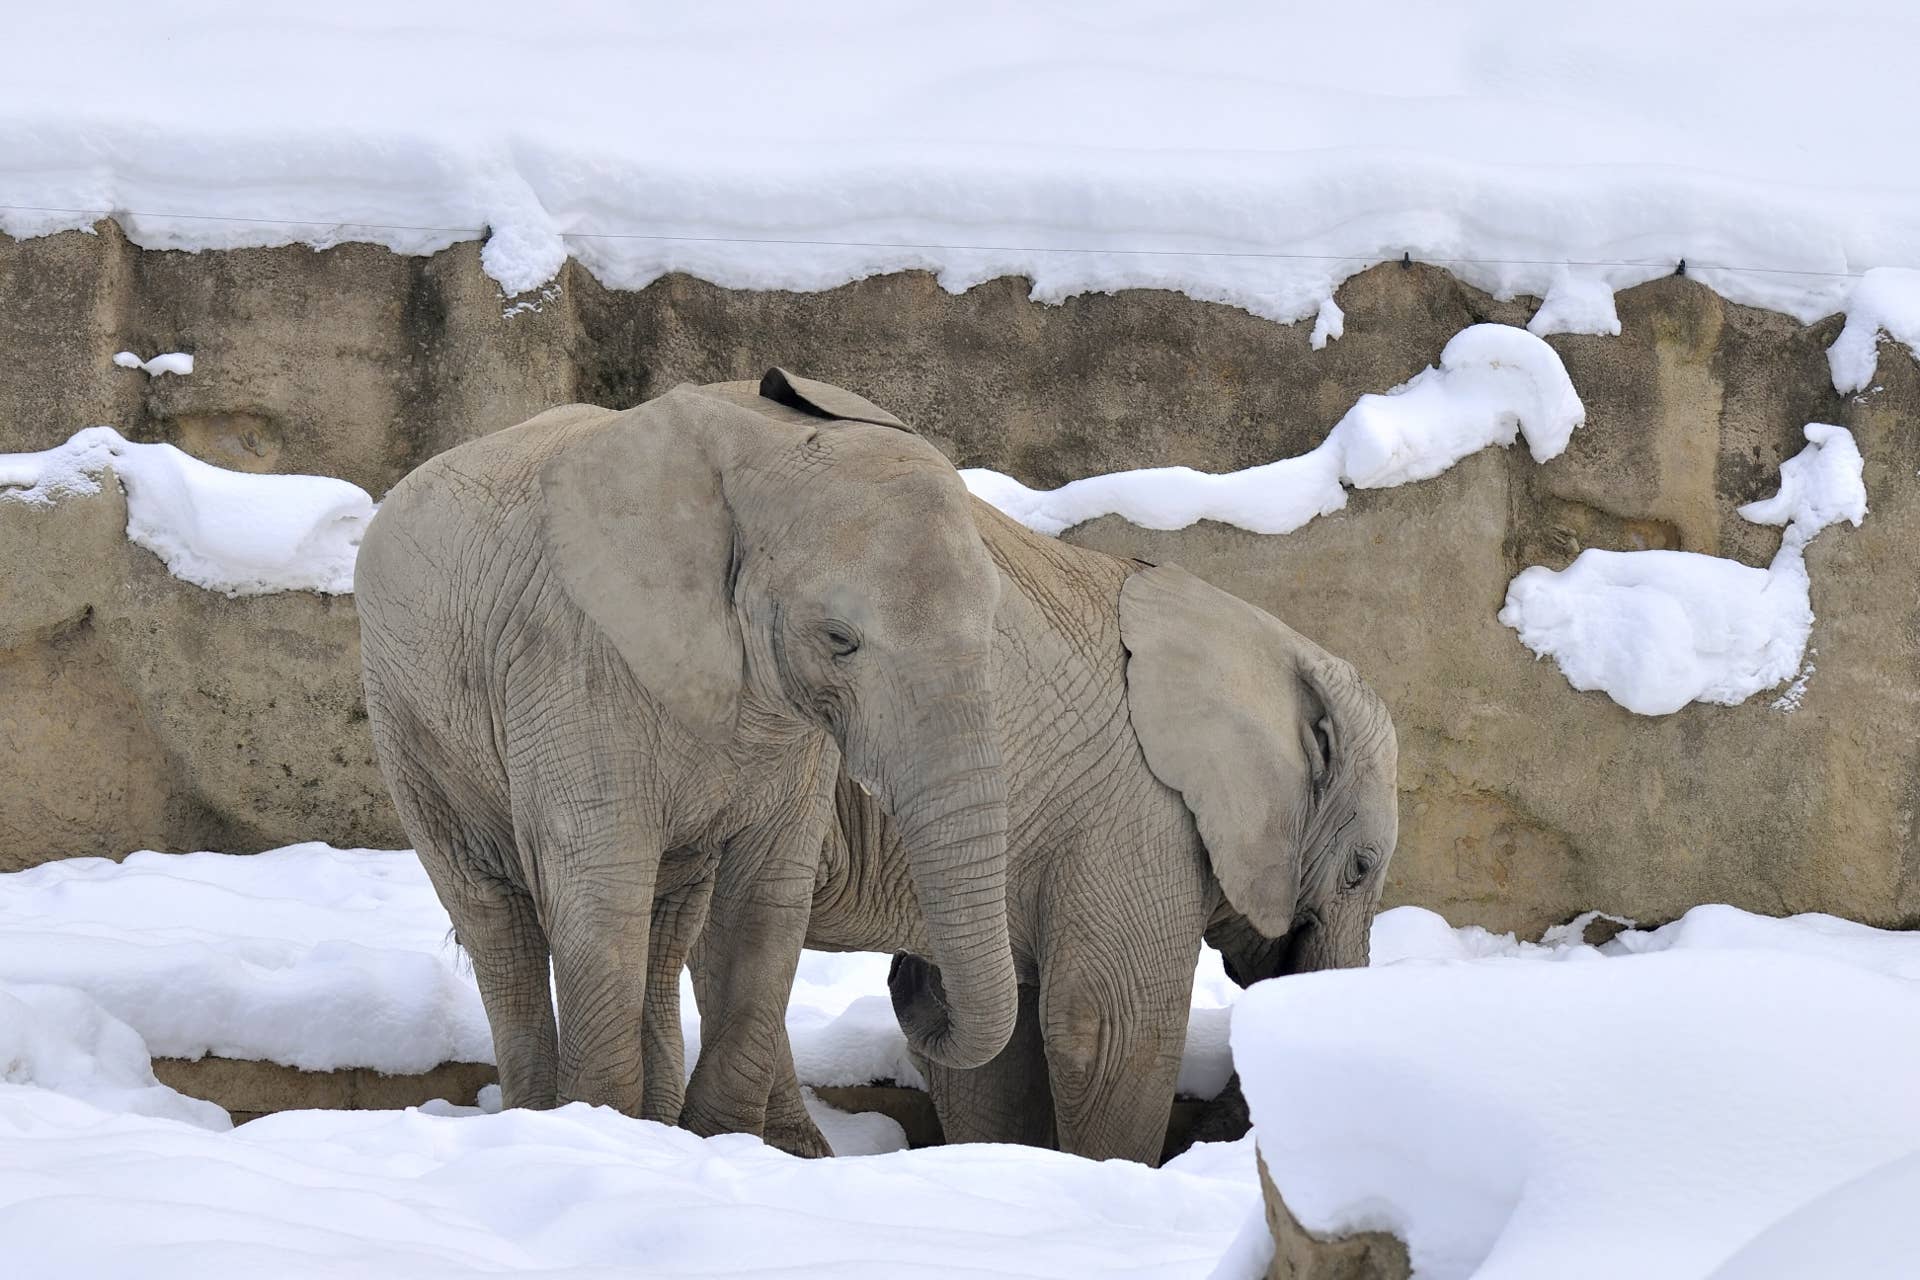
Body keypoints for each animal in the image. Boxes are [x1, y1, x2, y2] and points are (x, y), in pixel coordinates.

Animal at [355, 369, 1021, 1152]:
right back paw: (539, 1117)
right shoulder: (574, 658)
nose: (913, 980)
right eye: (838, 639)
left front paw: (719, 1143)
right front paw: (601, 1131)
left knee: (668, 925)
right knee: (494, 917)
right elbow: (599, 883)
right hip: (404, 720)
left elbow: (764, 900)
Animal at [642, 468, 1400, 1164]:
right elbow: (1110, 1027)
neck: (1266, 646)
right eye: (1361, 870)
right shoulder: (1139, 812)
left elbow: (1004, 1060)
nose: (906, 975)